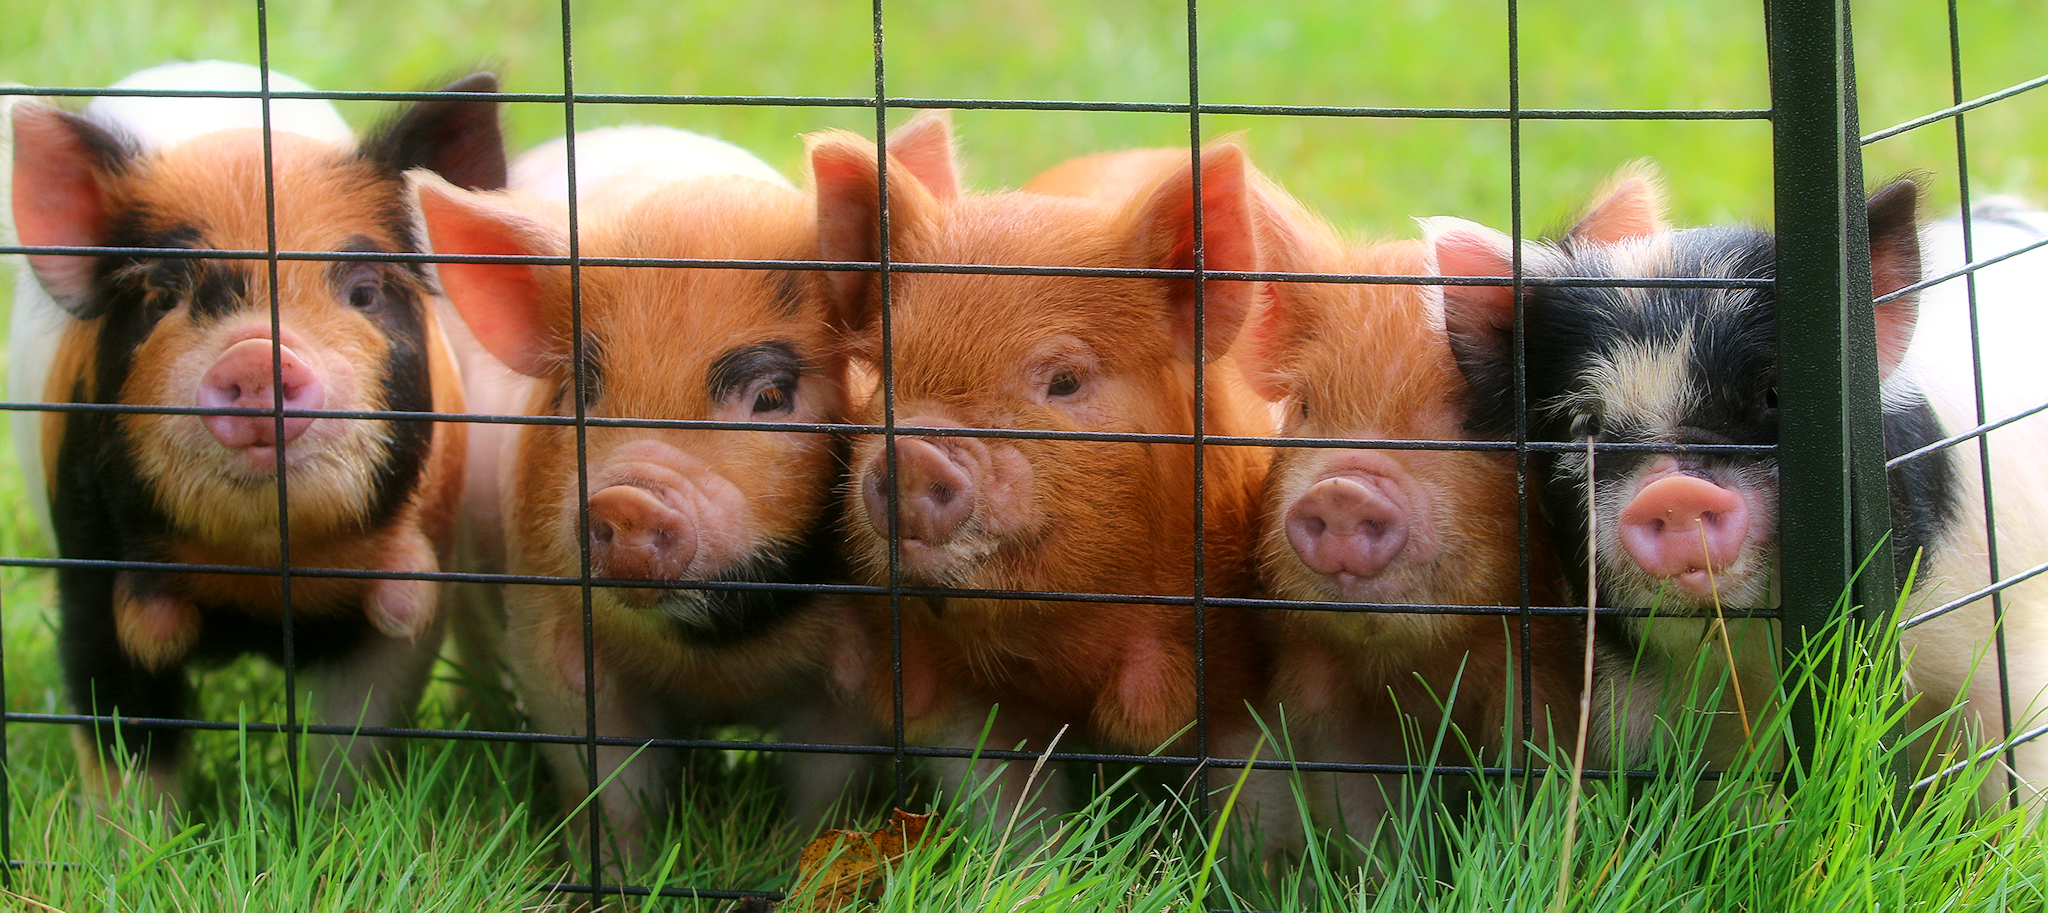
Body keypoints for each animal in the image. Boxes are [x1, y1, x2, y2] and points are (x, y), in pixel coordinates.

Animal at [5, 62, 505, 804]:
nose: (257, 353)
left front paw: (339, 817)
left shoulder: (410, 581)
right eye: (163, 293)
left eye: (364, 292)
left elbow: (356, 726)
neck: (260, 572)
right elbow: (124, 725)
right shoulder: (88, 567)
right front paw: (132, 833)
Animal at [411, 125, 867, 870]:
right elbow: (606, 783)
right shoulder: (549, 632)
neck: (716, 655)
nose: (628, 499)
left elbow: (825, 789)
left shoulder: (859, 669)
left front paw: (788, 868)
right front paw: (620, 876)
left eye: (772, 396)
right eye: (582, 391)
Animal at [811, 113, 1273, 814]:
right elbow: (1007, 803)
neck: (1059, 643)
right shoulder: (966, 696)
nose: (913, 448)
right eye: (885, 373)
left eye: (1064, 381)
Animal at [1426, 165, 2048, 804]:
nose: (1674, 493)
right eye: (1584, 425)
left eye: (1775, 394)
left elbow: (2010, 768)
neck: (1752, 666)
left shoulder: (2010, 642)